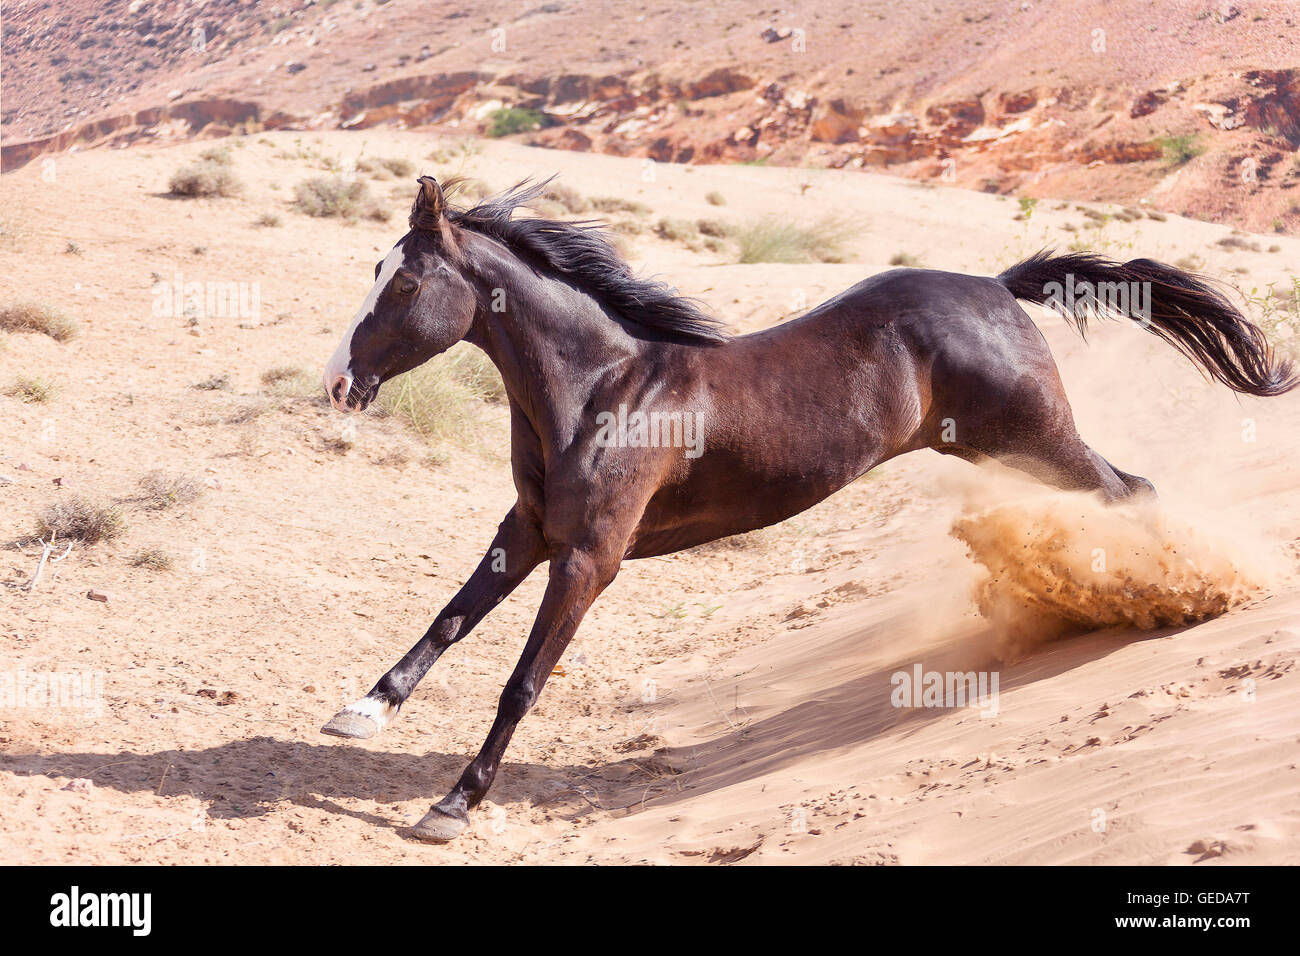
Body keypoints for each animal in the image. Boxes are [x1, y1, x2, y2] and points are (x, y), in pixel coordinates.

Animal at [318, 175, 1296, 842]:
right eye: (374, 272)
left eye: (404, 286)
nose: (337, 384)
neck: (605, 388)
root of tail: (997, 286)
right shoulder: (528, 530)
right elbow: (450, 618)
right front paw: (361, 712)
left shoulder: (591, 555)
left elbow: (523, 680)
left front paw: (451, 804)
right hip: (1006, 450)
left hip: (1038, 441)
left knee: (1133, 492)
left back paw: (1181, 592)